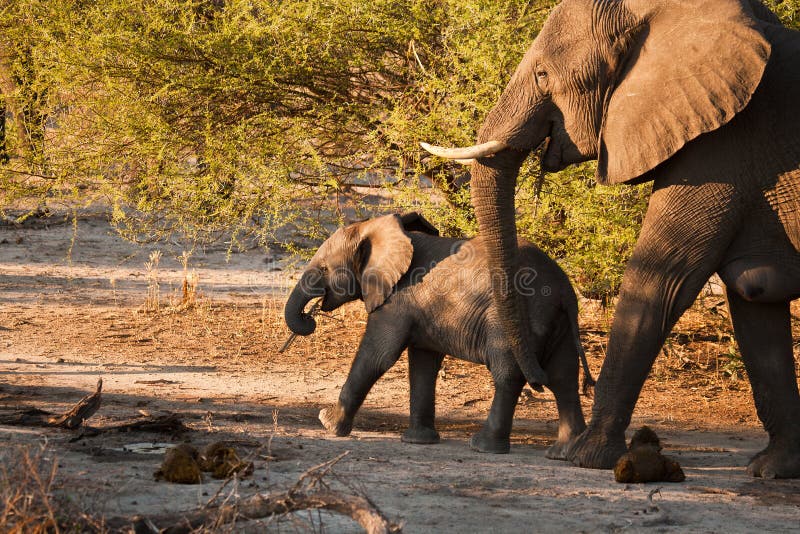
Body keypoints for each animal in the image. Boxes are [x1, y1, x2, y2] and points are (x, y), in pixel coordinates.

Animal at [284, 212, 595, 457]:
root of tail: (565, 290)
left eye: (324, 268)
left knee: (509, 375)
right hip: (557, 321)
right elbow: (424, 363)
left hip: (513, 319)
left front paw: (328, 423)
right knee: (564, 378)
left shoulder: (396, 301)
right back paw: (564, 452)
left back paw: (484, 446)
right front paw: (418, 441)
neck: (376, 228)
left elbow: (377, 355)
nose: (310, 318)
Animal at [421, 0, 800, 477]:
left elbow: (660, 277)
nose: (536, 380)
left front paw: (587, 457)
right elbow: (756, 299)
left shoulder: (722, 145)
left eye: (542, 74)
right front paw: (772, 468)